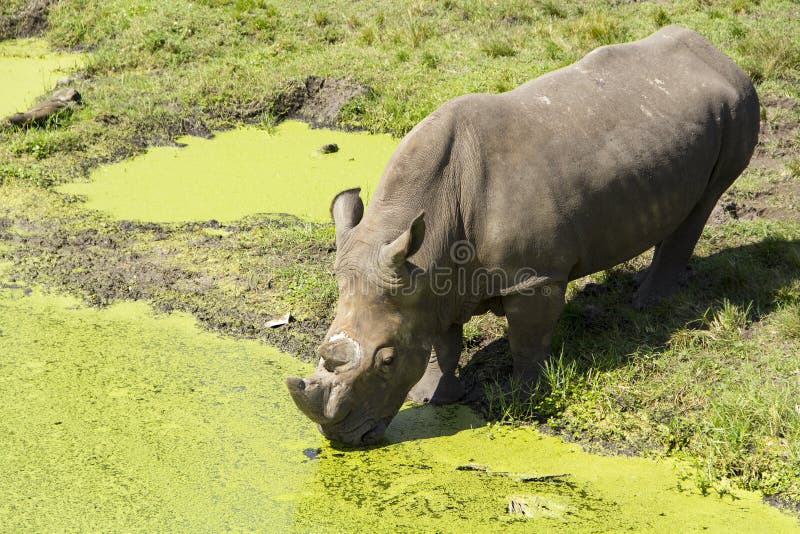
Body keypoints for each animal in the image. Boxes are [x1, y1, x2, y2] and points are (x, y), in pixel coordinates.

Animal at [286, 26, 759, 446]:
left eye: (386, 360)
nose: (342, 439)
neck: (431, 230)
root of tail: (721, 56)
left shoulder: (534, 277)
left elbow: (526, 341)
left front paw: (518, 397)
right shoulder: (428, 278)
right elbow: (442, 338)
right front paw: (434, 396)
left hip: (739, 107)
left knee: (704, 203)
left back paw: (646, 303)